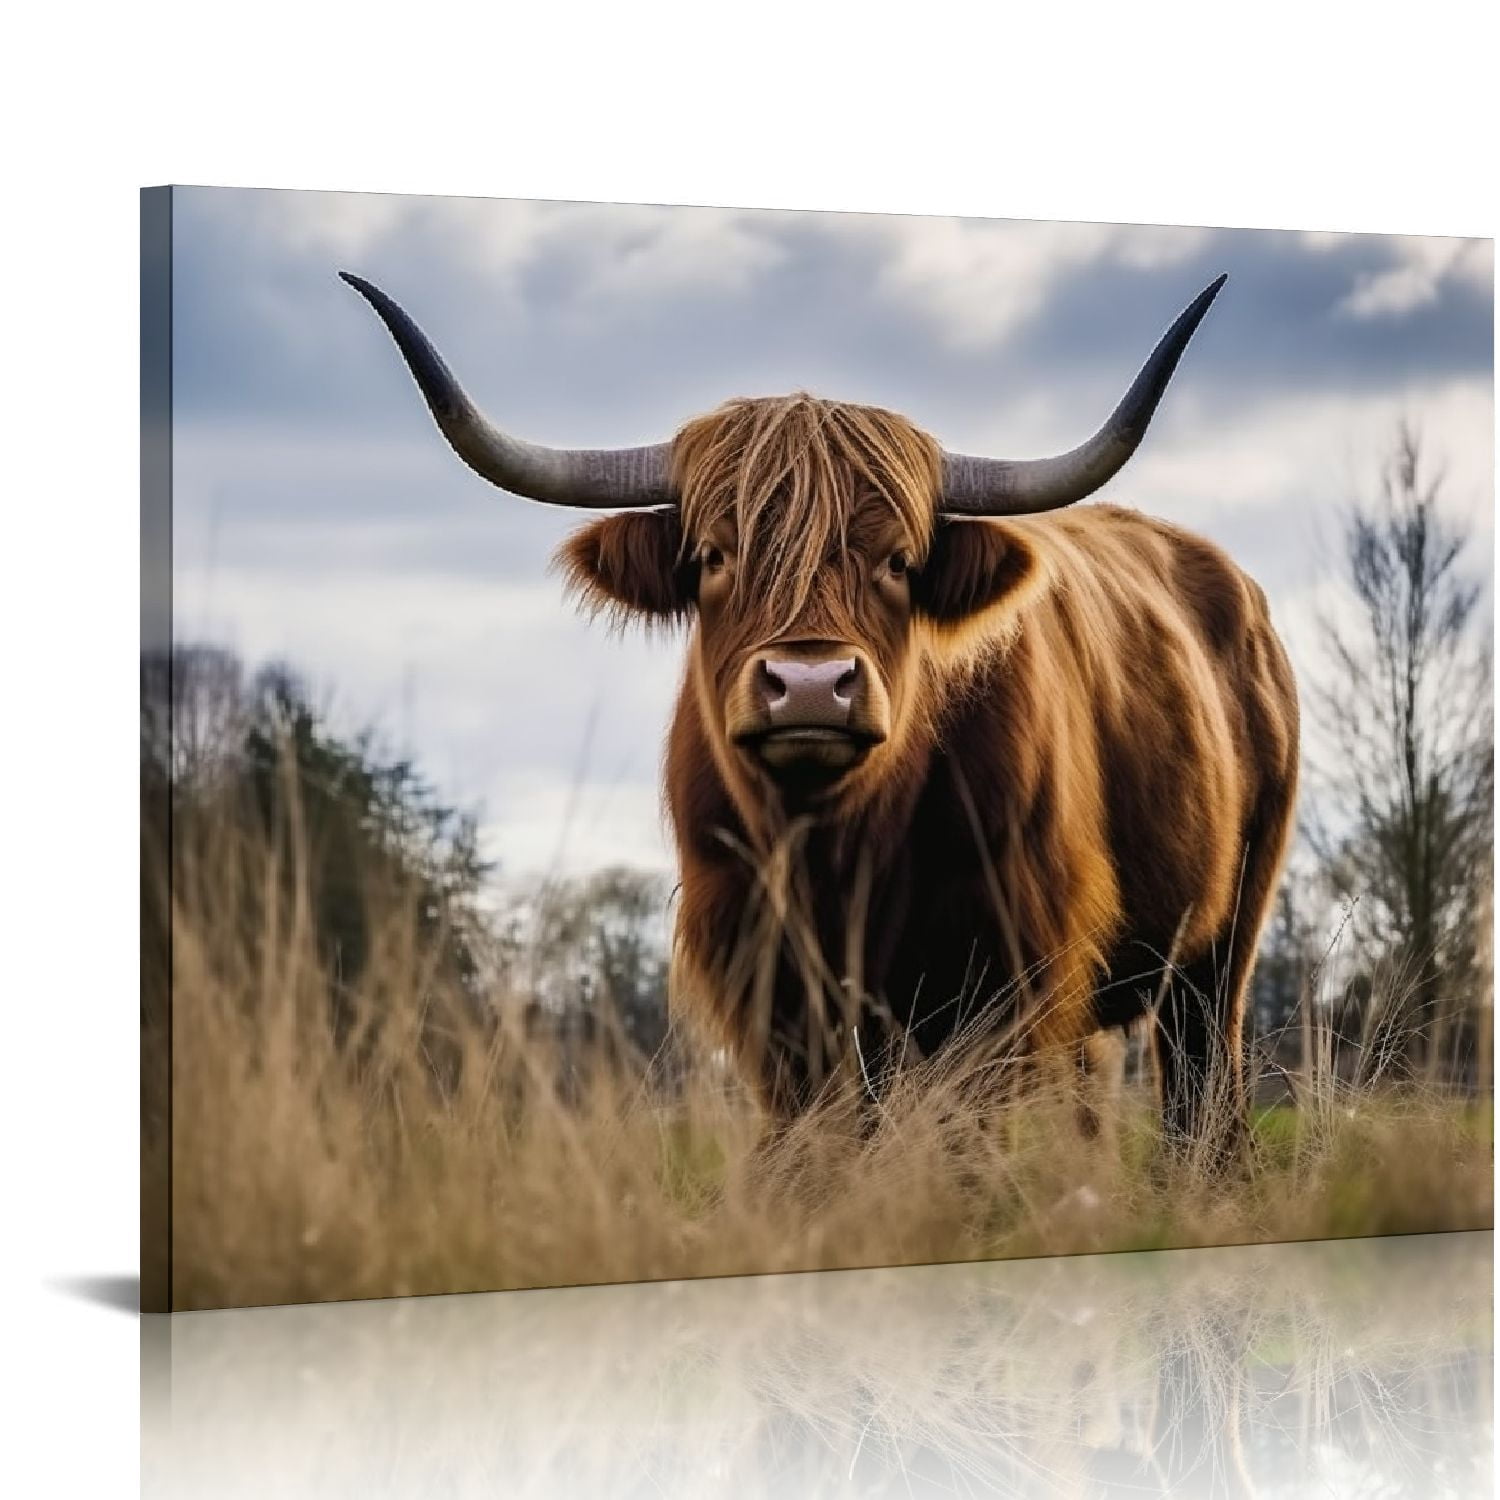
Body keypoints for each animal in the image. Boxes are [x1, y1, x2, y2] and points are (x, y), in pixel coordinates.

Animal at [342, 270, 1299, 1162]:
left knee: (1202, 1096)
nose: (809, 684)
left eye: (899, 561)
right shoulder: (764, 975)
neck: (838, 848)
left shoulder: (997, 965)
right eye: (713, 556)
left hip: (1221, 950)